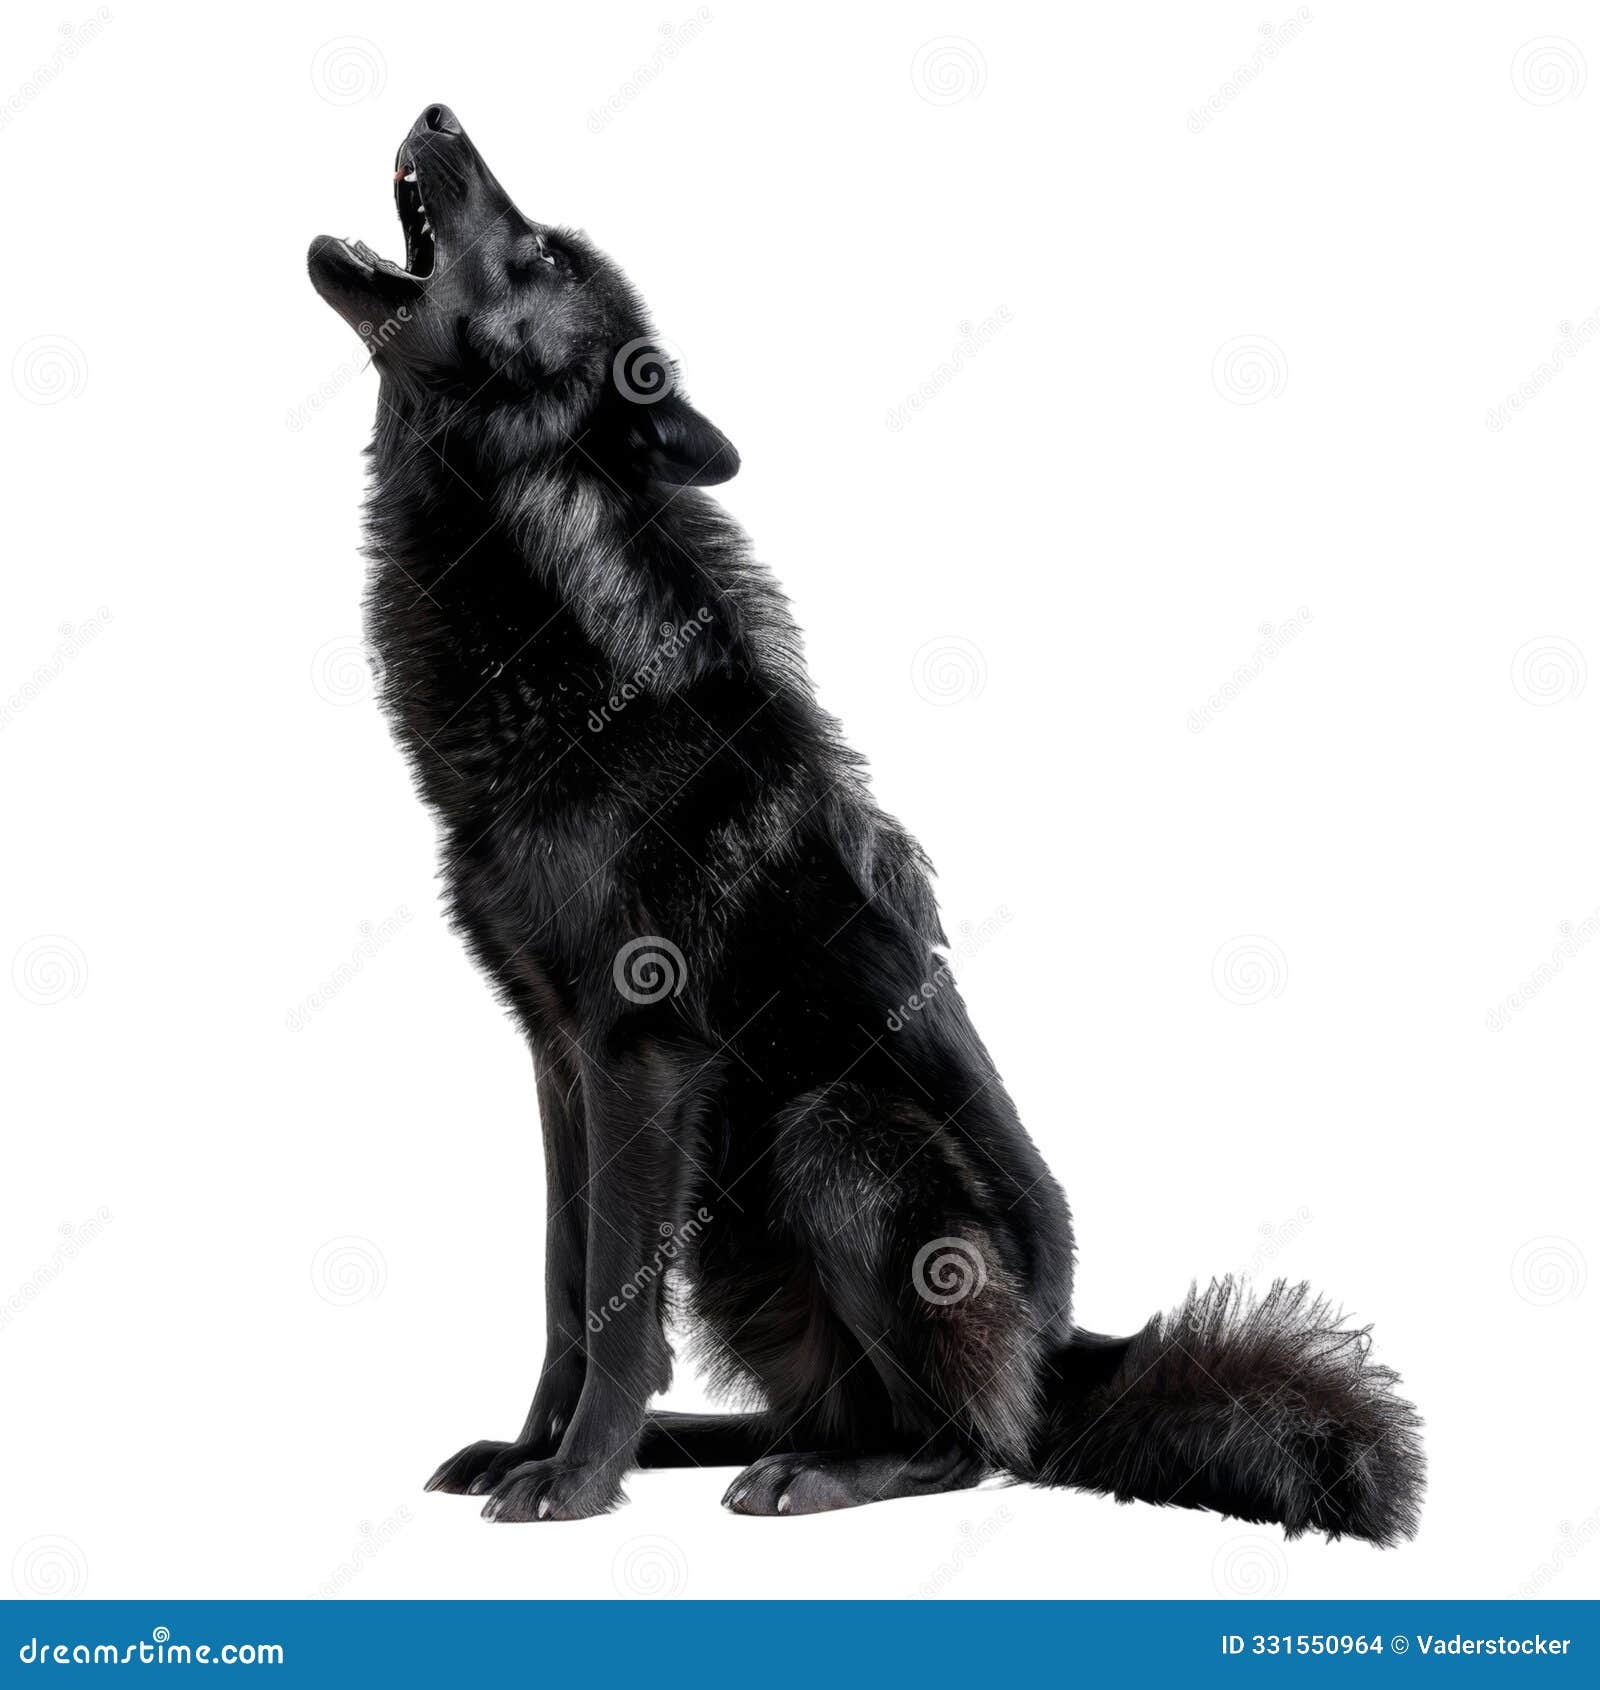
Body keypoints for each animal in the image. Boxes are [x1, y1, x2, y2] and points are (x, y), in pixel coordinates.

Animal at [308, 104, 1423, 1534]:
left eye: (545, 253)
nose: (442, 113)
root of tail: (1066, 1358)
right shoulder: (557, 1057)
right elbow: (564, 1288)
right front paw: (534, 1451)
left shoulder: (639, 1052)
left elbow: (612, 1304)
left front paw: (575, 1479)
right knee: (827, 1405)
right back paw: (702, 1443)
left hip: (829, 1137)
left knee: (964, 1445)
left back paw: (807, 1474)